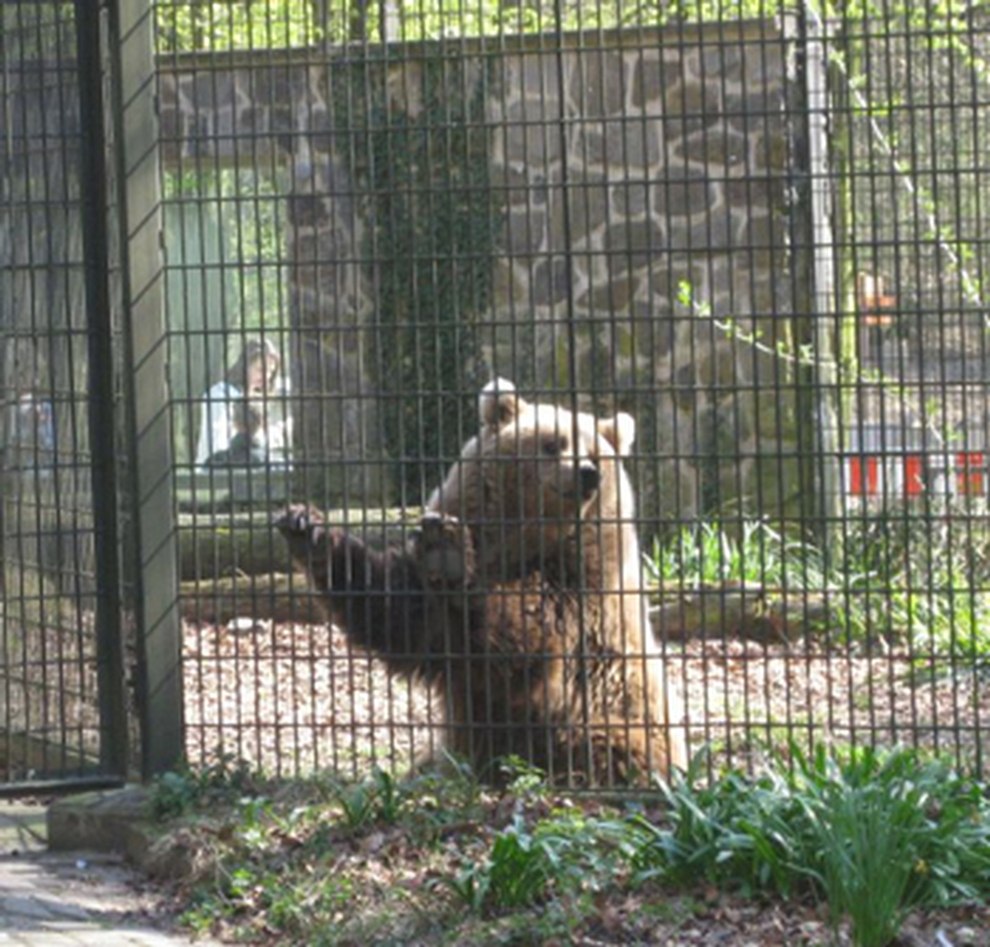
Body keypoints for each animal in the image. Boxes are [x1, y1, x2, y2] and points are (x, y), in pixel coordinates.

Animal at [276, 379, 686, 785]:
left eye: (595, 455)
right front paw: (308, 528)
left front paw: (451, 556)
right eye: (552, 443)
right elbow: (405, 615)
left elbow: (526, 635)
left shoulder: (584, 586)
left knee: (602, 748)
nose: (587, 473)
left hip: (614, 718)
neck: (522, 540)